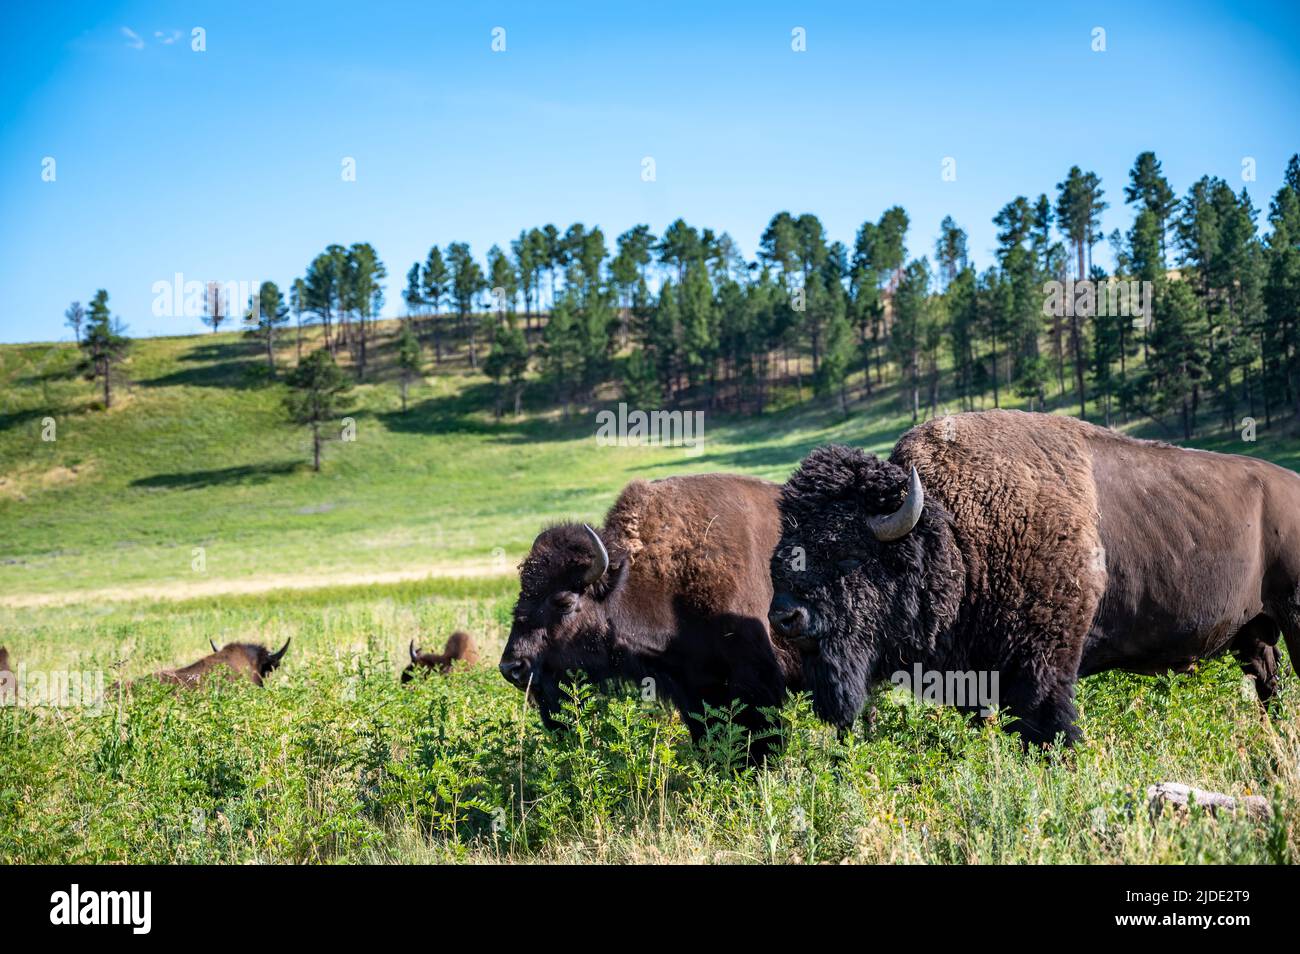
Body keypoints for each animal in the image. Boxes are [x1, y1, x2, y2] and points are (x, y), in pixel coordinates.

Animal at [769, 410, 1297, 745]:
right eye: (782, 550)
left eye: (844, 553)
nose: (783, 618)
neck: (954, 532)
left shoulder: (1044, 663)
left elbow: (1047, 726)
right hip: (1254, 634)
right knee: (1267, 682)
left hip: (1292, 616)